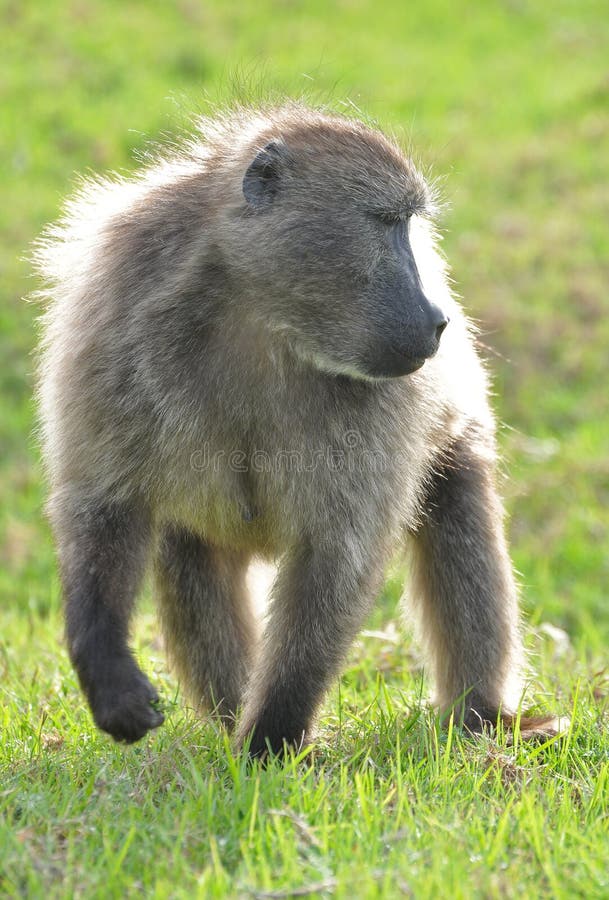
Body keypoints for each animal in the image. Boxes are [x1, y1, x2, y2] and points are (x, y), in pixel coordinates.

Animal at [33, 102, 560, 757]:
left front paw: (273, 742)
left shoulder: (381, 405)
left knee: (458, 518)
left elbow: (335, 557)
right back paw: (232, 713)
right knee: (191, 552)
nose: (439, 320)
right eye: (385, 222)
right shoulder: (114, 321)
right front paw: (110, 677)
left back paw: (481, 719)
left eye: (408, 226)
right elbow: (103, 501)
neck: (258, 314)